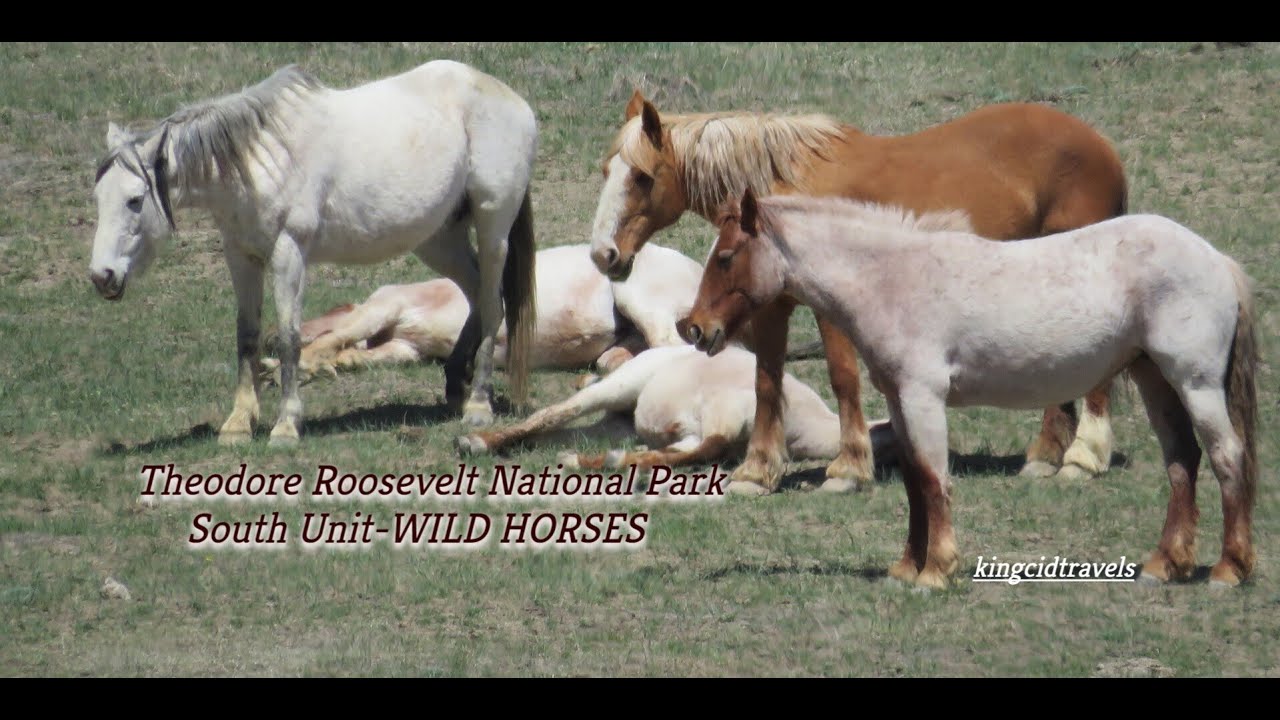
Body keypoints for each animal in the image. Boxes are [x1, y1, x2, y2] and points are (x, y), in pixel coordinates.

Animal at [88, 60, 539, 445]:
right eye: (98, 197)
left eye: (134, 200)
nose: (101, 276)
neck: (260, 162)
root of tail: (513, 101)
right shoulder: (241, 257)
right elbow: (247, 336)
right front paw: (238, 423)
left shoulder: (289, 254)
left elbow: (289, 338)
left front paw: (286, 425)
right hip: (439, 240)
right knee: (476, 295)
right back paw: (455, 386)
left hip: (493, 229)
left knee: (493, 305)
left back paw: (478, 404)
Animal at [259, 242, 705, 384]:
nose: (267, 337)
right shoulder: (406, 348)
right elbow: (358, 354)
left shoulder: (388, 305)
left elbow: (335, 336)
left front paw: (292, 367)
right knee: (624, 355)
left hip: (638, 295)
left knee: (669, 344)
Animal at [456, 342, 895, 473]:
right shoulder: (721, 416)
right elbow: (708, 447)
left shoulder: (699, 434)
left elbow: (691, 451)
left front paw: (617, 459)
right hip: (616, 393)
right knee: (550, 415)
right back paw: (476, 441)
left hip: (616, 419)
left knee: (560, 430)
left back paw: (578, 457)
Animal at [588, 91, 1129, 495]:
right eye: (605, 171)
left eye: (642, 177)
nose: (603, 255)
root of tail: (1102, 147)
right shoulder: (773, 308)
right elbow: (766, 382)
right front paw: (757, 472)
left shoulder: (832, 310)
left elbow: (843, 378)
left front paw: (848, 469)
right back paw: (1046, 455)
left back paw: (1082, 457)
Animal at [682, 188, 1258, 589]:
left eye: (726, 256)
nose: (694, 329)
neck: (894, 279)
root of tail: (1217, 260)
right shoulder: (900, 400)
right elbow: (915, 482)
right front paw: (906, 568)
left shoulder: (923, 398)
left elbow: (935, 481)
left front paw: (936, 572)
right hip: (1154, 379)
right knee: (1182, 462)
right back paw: (1166, 564)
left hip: (1195, 384)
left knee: (1228, 457)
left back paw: (1229, 569)